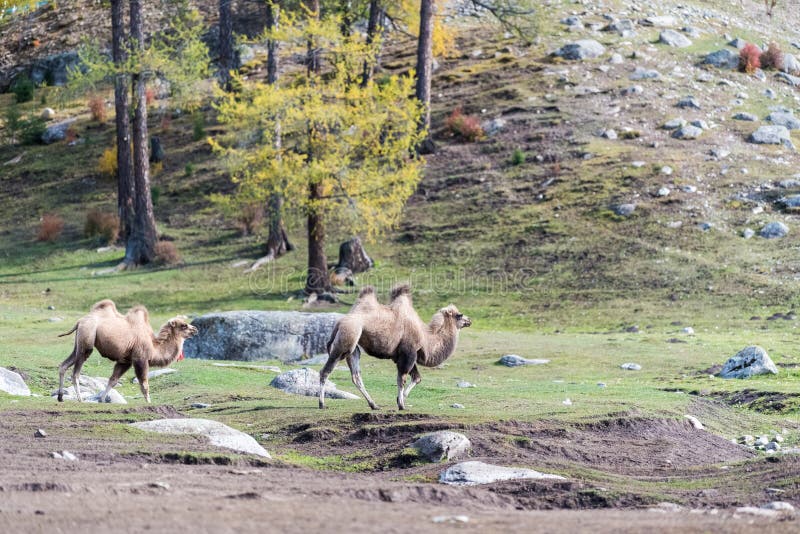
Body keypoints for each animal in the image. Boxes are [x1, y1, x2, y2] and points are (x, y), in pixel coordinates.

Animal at [56, 299, 197, 403]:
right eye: (183, 325)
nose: (195, 329)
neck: (153, 347)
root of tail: (80, 321)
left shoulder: (125, 361)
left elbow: (113, 380)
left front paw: (101, 400)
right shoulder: (140, 359)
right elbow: (144, 384)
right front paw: (149, 403)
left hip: (79, 343)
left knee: (63, 365)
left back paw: (60, 397)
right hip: (87, 339)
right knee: (75, 373)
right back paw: (80, 399)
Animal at [320, 284, 471, 410]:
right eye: (459, 315)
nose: (469, 321)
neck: (426, 338)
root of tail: (339, 323)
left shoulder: (403, 355)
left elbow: (416, 378)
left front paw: (400, 399)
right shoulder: (408, 352)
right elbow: (402, 379)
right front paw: (401, 405)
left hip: (353, 348)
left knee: (356, 376)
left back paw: (374, 405)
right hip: (346, 339)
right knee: (325, 371)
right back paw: (322, 404)